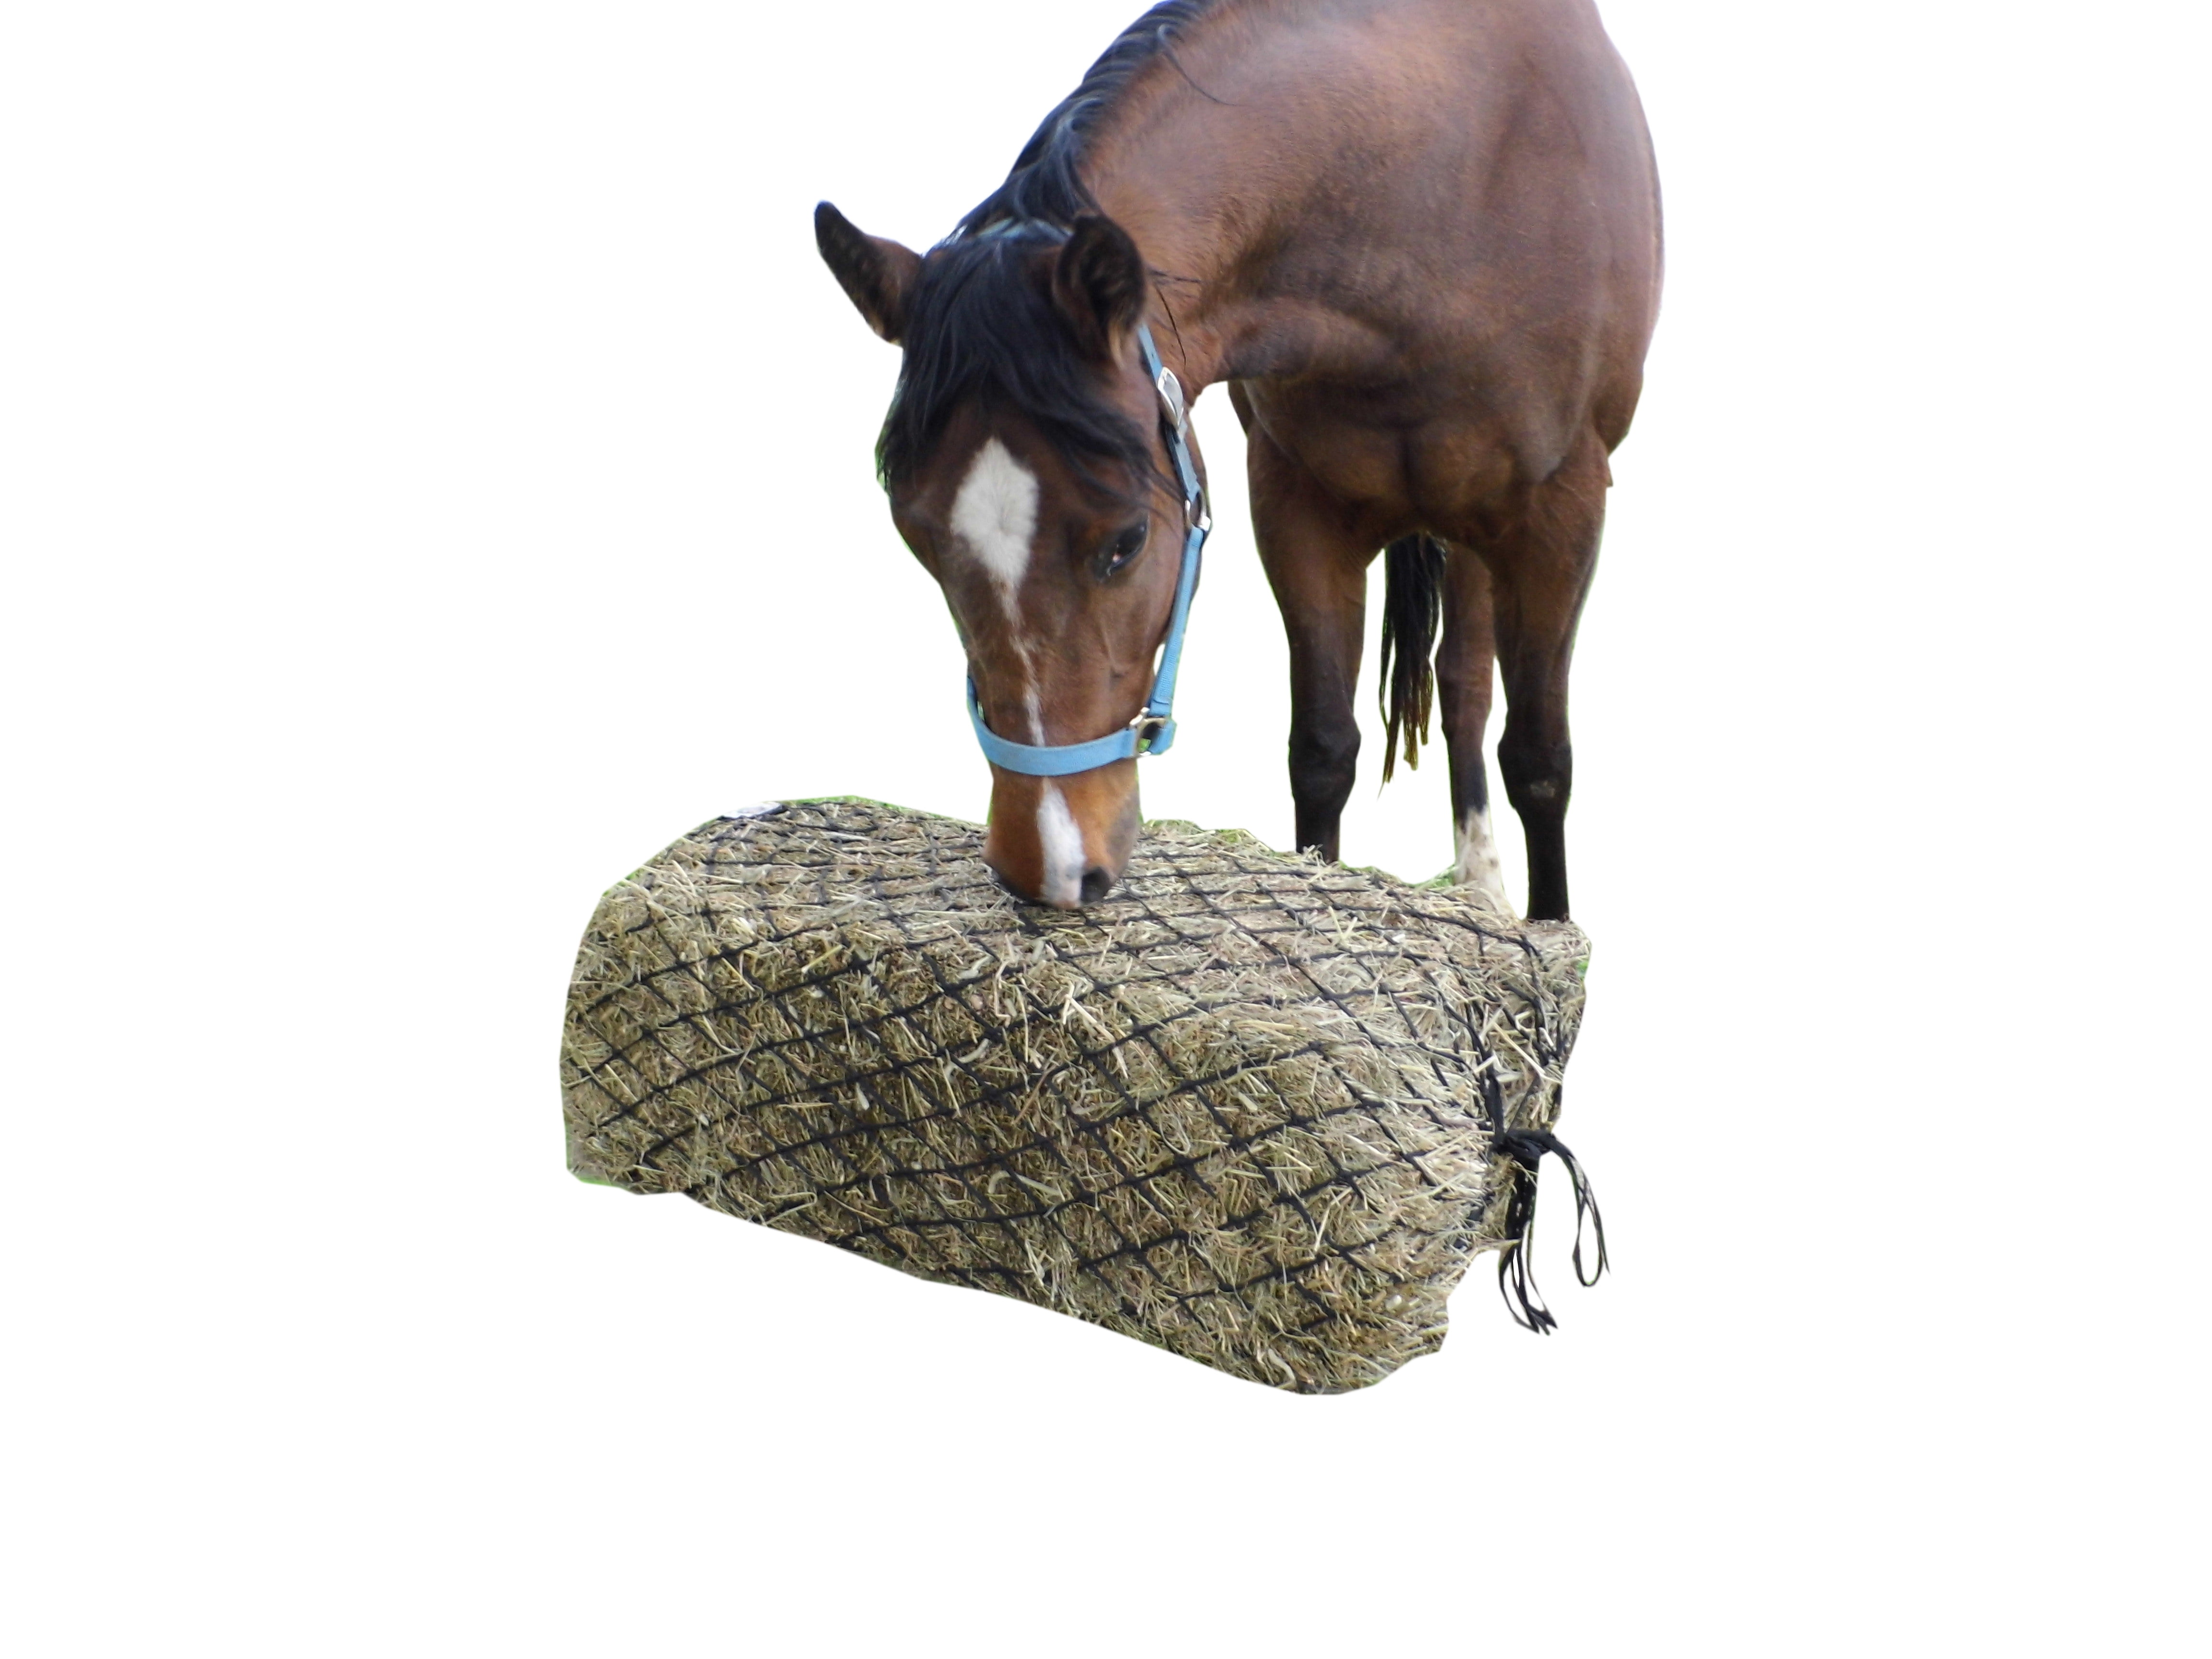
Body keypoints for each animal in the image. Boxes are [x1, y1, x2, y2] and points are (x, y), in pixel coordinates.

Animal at [816, 0, 1660, 918]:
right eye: (921, 541)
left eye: (1126, 543)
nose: (1050, 866)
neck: (1437, 200)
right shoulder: (1297, 507)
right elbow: (1321, 751)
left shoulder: (1559, 519)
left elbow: (1539, 765)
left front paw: (1548, 930)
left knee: (1469, 686)